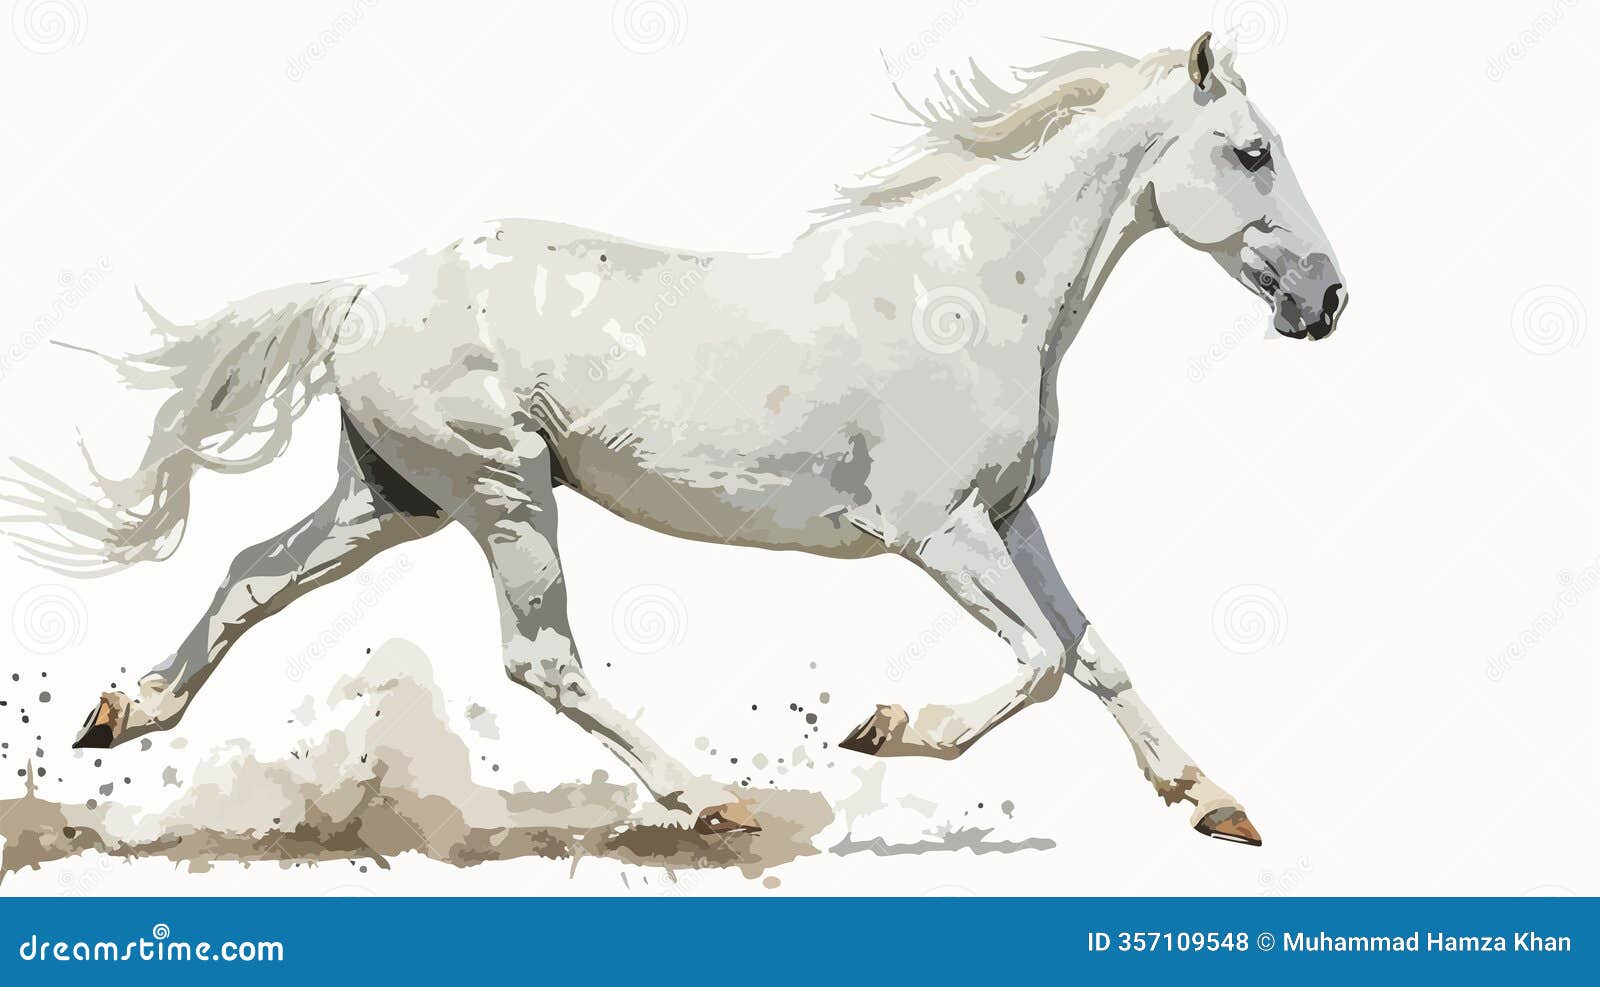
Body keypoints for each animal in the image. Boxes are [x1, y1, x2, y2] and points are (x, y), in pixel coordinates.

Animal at [6, 32, 1345, 845]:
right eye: (1251, 152)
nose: (1327, 302)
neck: (973, 291)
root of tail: (366, 291)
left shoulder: (1011, 517)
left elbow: (1094, 655)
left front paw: (1215, 805)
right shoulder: (937, 529)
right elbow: (1039, 664)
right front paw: (885, 729)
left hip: (395, 495)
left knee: (249, 576)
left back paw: (121, 714)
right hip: (504, 490)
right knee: (538, 657)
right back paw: (713, 801)